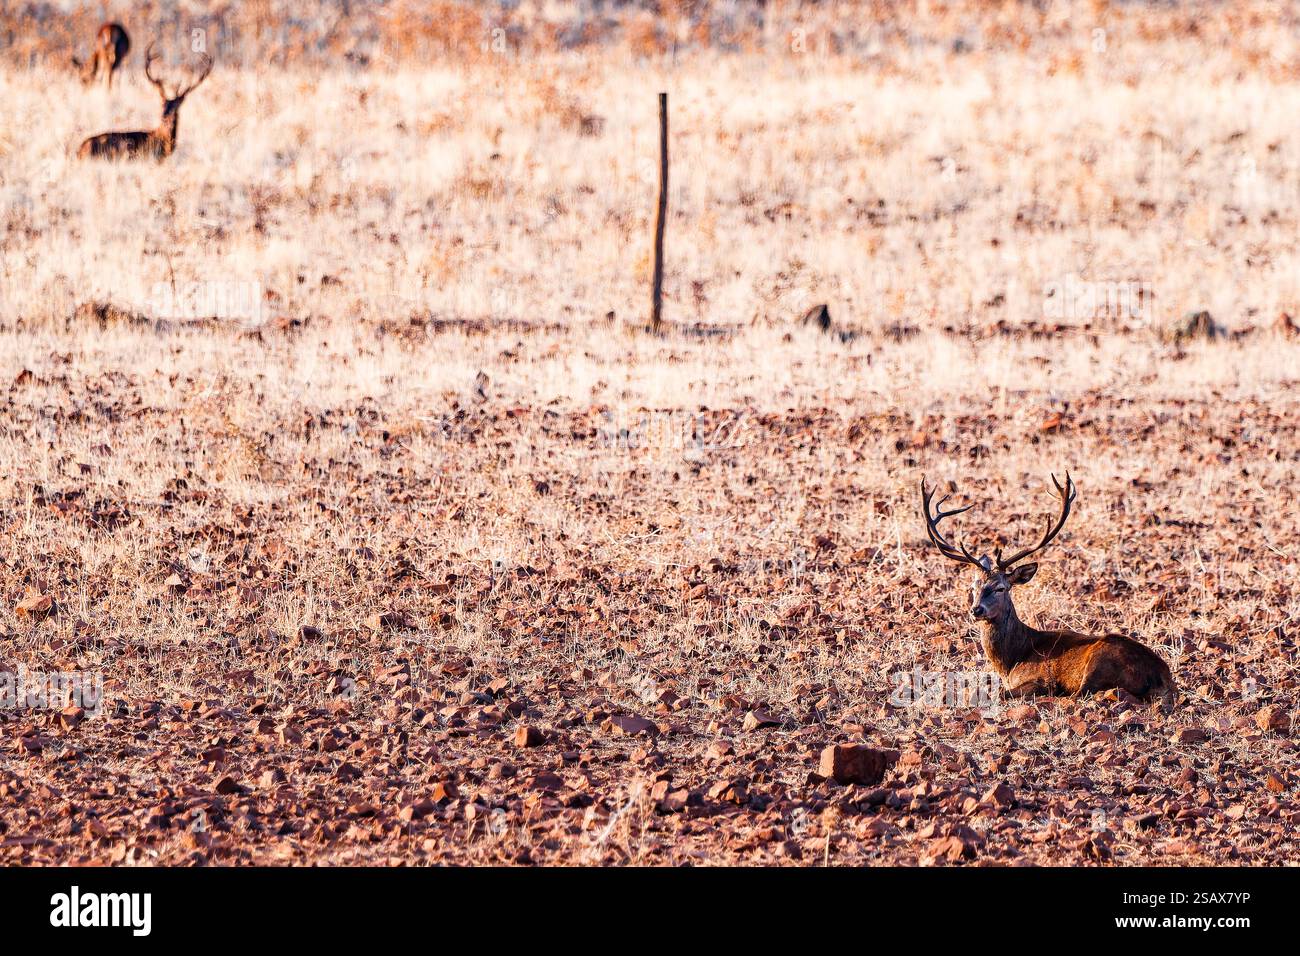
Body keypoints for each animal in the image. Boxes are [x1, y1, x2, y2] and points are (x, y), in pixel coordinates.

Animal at [920, 474, 1176, 711]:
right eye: (973, 587)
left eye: (1000, 587)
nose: (976, 610)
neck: (1012, 660)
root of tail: (1164, 677)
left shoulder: (1041, 677)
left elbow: (1002, 693)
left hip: (1100, 661)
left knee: (1079, 694)